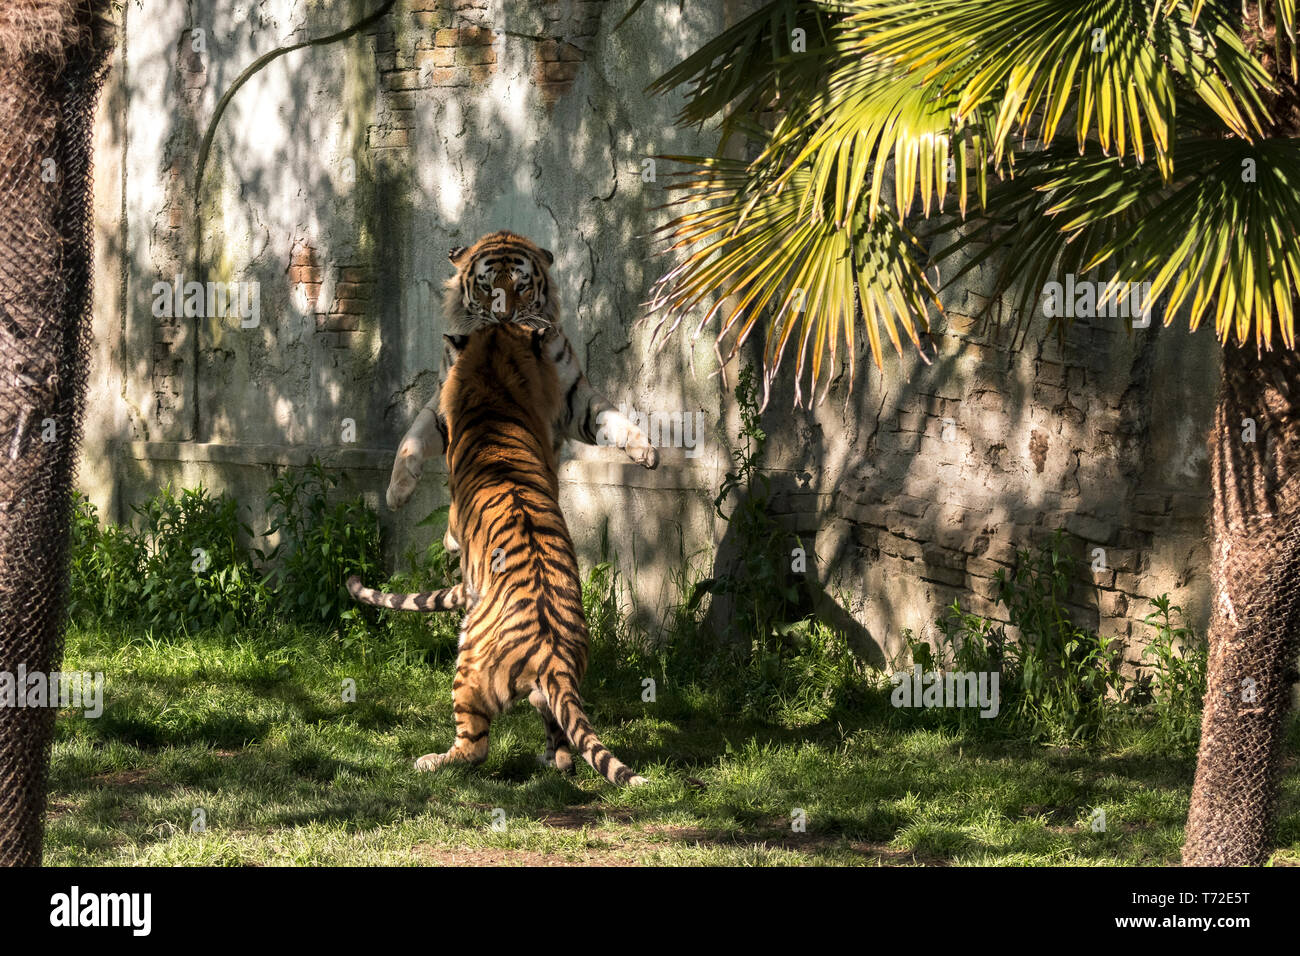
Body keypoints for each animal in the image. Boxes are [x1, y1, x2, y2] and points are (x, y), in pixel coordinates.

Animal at [349, 322, 647, 786]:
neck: (496, 387)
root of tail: (554, 656)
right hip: (552, 691)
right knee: (560, 736)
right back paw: (552, 760)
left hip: (467, 671)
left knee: (475, 748)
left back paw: (432, 761)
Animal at [385, 230, 658, 515]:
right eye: (486, 287)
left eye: (521, 287)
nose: (503, 317)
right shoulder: (447, 402)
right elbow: (412, 435)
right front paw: (397, 490)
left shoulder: (570, 397)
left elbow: (608, 413)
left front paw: (643, 446)